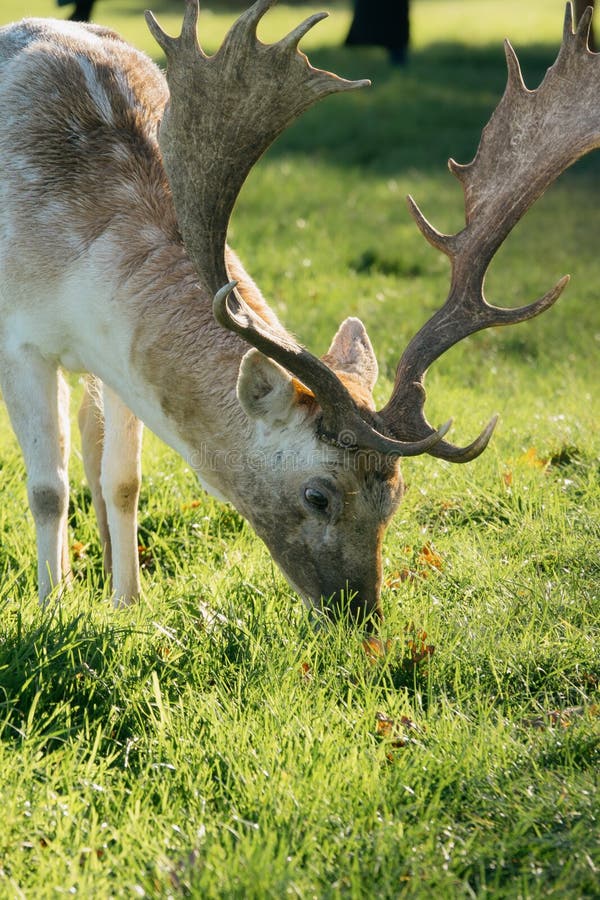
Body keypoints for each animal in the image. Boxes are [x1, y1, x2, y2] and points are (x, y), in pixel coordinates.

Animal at [0, 0, 597, 627]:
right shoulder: (18, 340)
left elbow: (123, 479)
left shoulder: (114, 355)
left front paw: (129, 603)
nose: (360, 616)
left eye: (398, 495)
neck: (75, 264)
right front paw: (49, 609)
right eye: (318, 494)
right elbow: (46, 490)